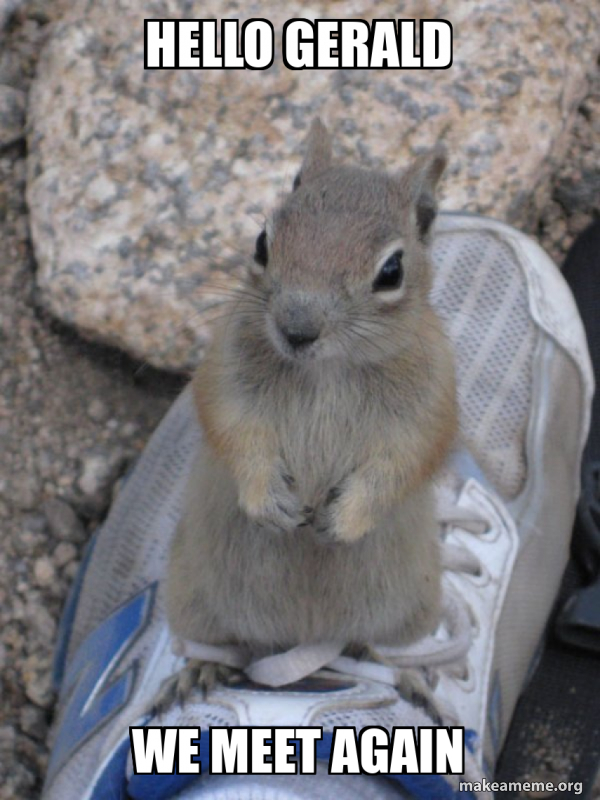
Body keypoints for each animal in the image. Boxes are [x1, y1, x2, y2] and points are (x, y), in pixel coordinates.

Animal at [163, 118, 457, 697]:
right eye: (263, 242)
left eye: (392, 271)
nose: (296, 329)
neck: (326, 370)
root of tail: (307, 634)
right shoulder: (227, 378)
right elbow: (237, 434)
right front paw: (268, 501)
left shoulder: (428, 408)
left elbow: (401, 464)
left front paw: (345, 519)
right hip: (189, 597)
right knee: (229, 645)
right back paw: (204, 669)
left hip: (414, 609)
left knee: (366, 644)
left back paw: (401, 676)